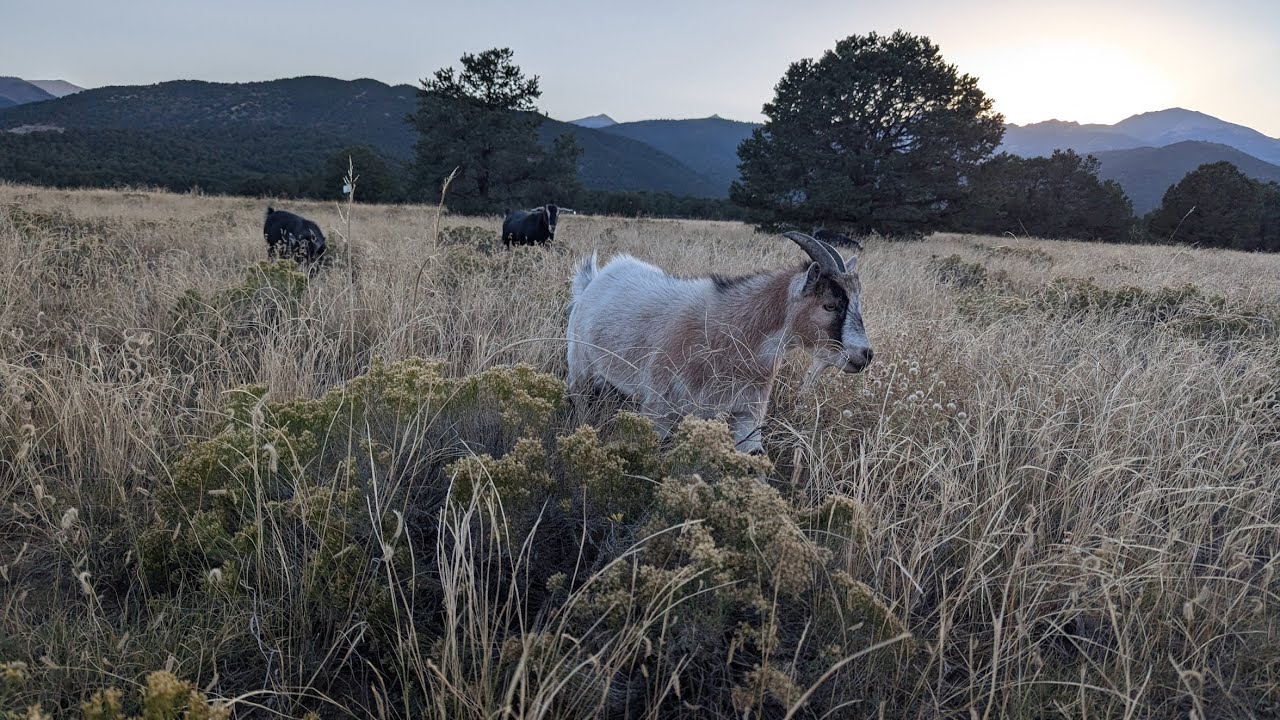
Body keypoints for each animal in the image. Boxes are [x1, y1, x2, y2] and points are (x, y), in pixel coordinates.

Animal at [566, 231, 872, 454]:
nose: (865, 354)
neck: (733, 331)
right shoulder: (659, 409)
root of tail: (594, 280)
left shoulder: (747, 414)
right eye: (829, 305)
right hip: (579, 364)